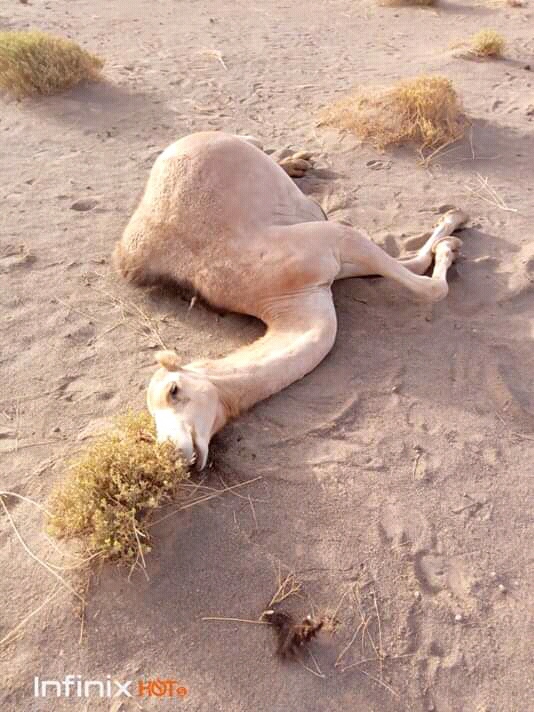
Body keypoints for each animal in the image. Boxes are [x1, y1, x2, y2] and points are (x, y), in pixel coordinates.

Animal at [113, 131, 467, 469]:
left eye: (173, 391)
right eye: (149, 427)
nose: (170, 452)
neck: (284, 300)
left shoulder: (336, 240)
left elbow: (425, 281)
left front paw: (453, 224)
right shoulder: (329, 272)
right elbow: (420, 273)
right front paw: (449, 242)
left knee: (255, 141)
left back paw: (295, 162)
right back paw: (297, 163)